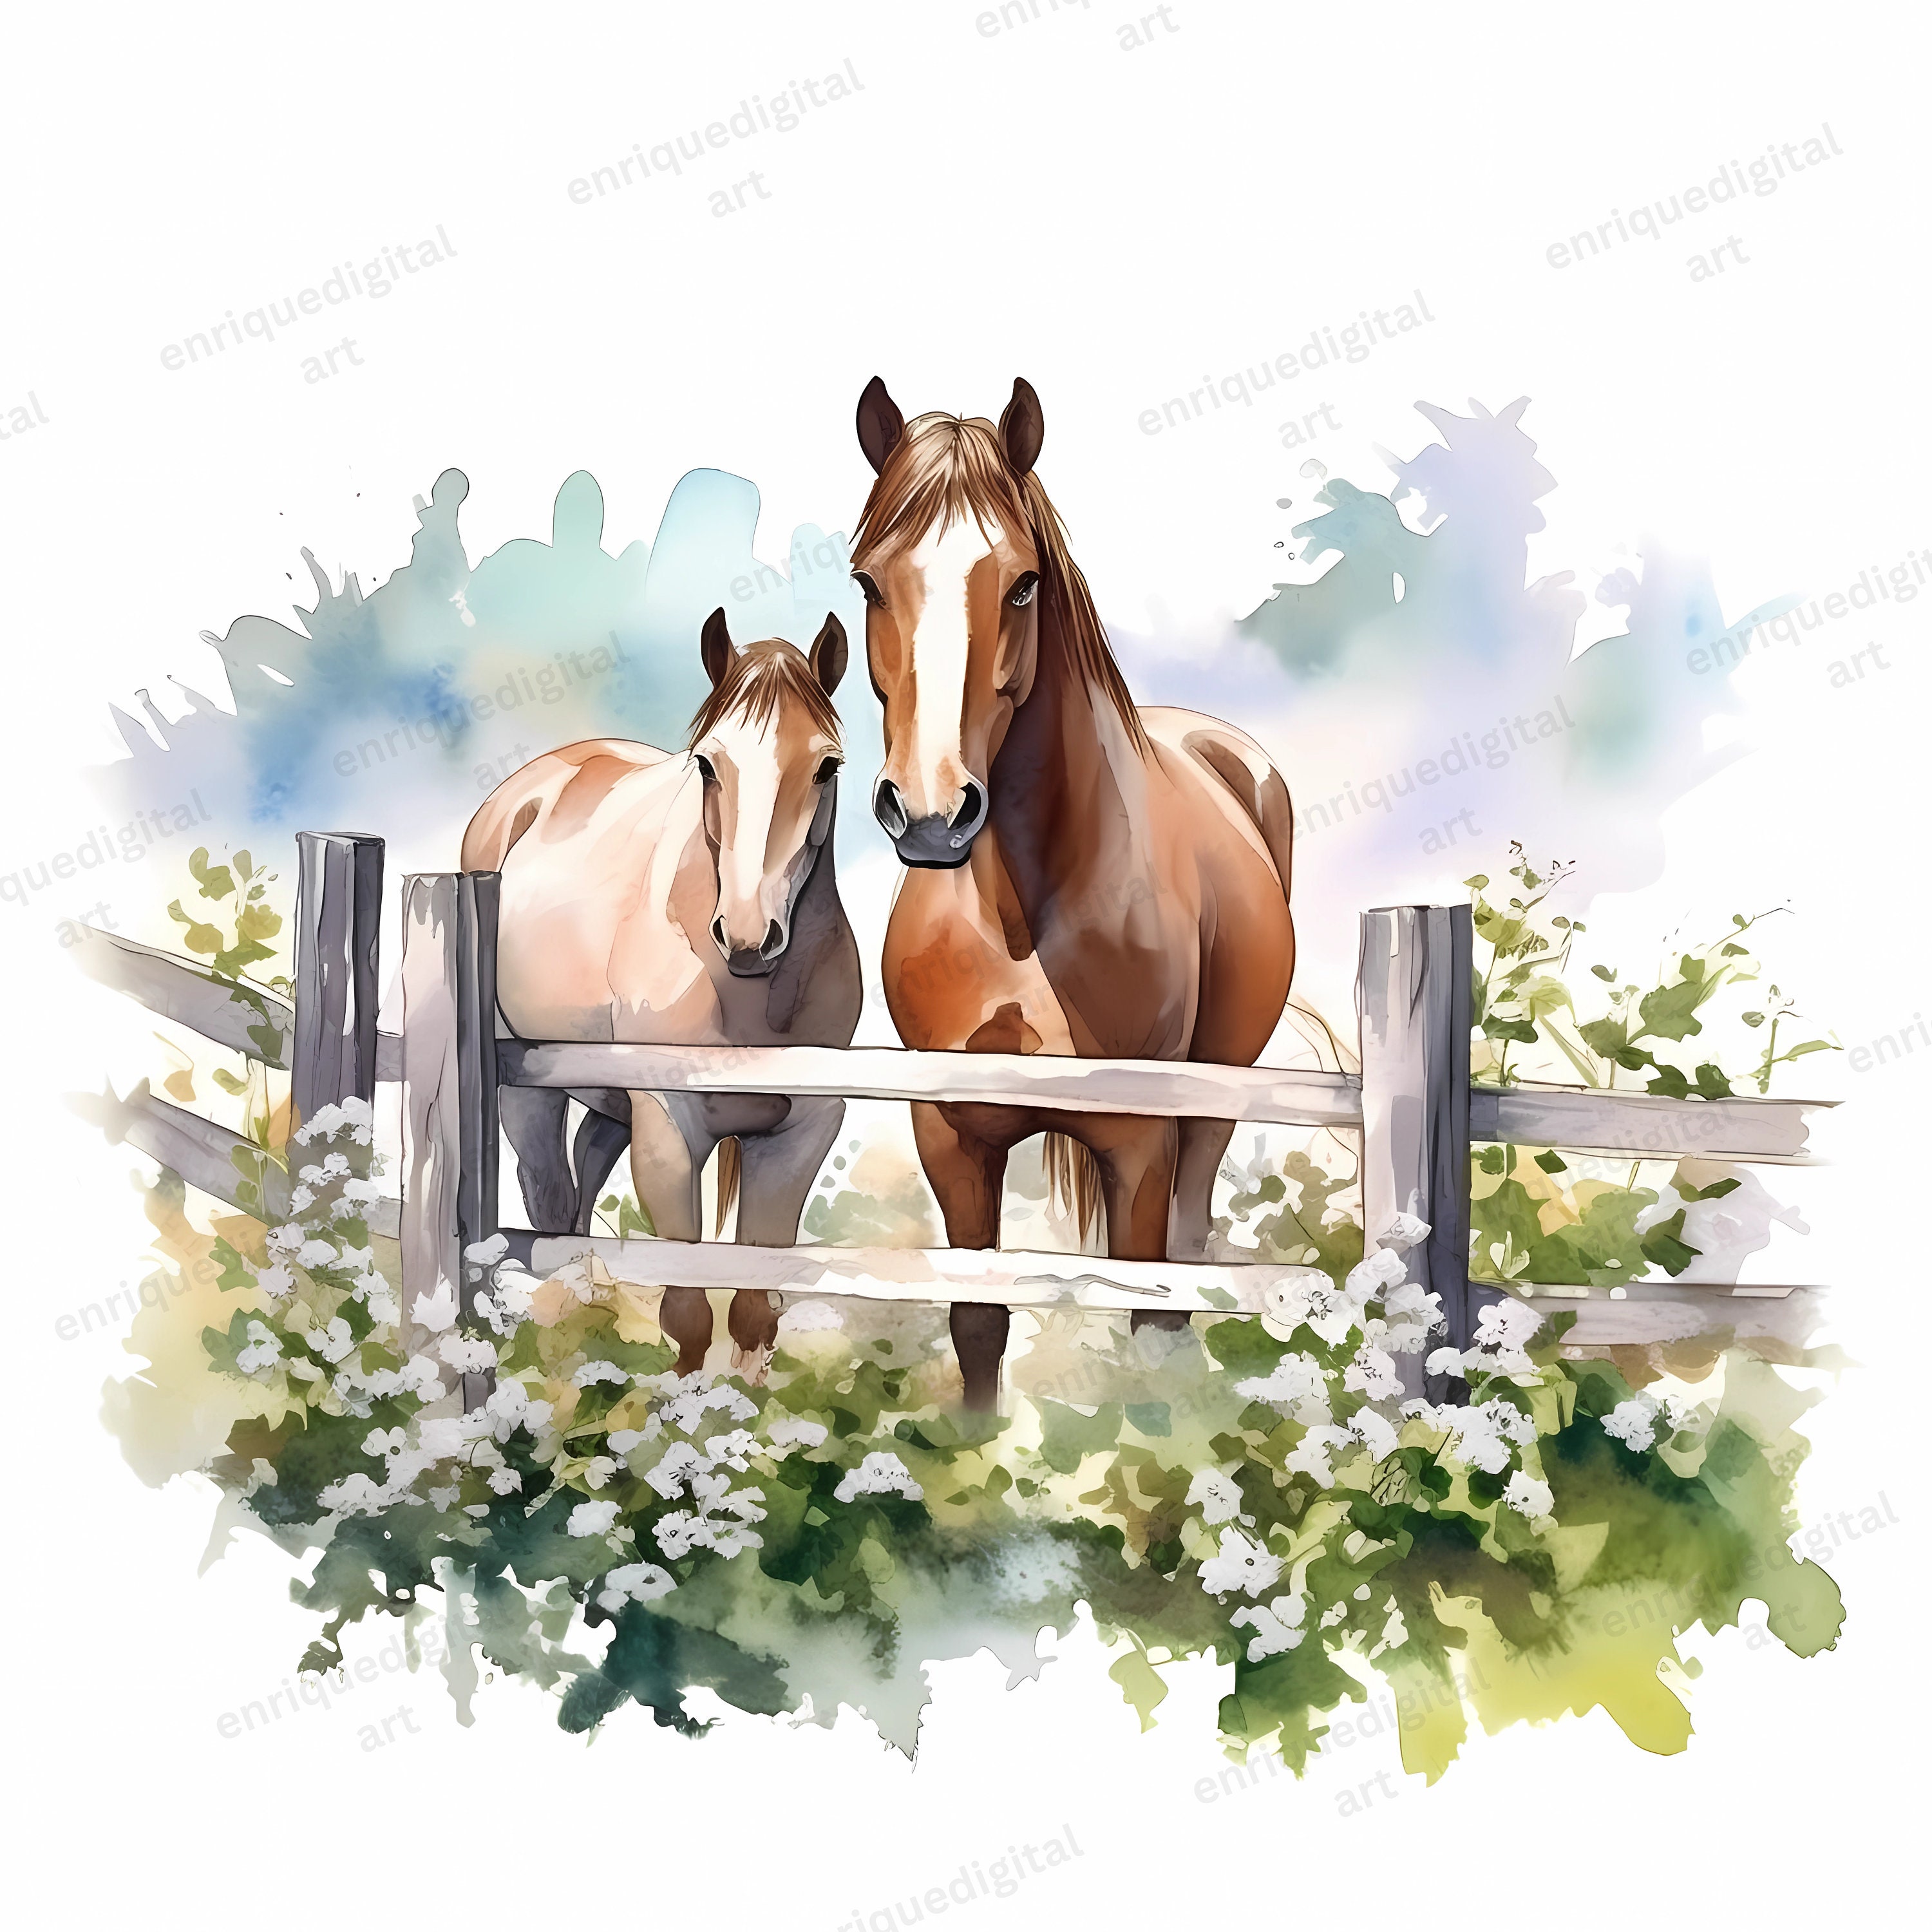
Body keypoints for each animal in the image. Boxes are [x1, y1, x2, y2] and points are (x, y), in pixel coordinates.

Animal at [461, 608, 861, 1376]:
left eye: (828, 765)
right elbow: (689, 1316)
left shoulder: (801, 1133)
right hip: (527, 1091)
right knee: (550, 1201)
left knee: (585, 1176)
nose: (748, 936)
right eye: (707, 763)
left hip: (612, 1102)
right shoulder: (669, 1130)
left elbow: (753, 1310)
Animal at [850, 376, 1296, 1409]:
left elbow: (1148, 1325)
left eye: (1022, 582)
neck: (1023, 918)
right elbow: (977, 1322)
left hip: (1213, 1109)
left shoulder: (1139, 1146)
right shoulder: (952, 1137)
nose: (931, 812)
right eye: (868, 582)